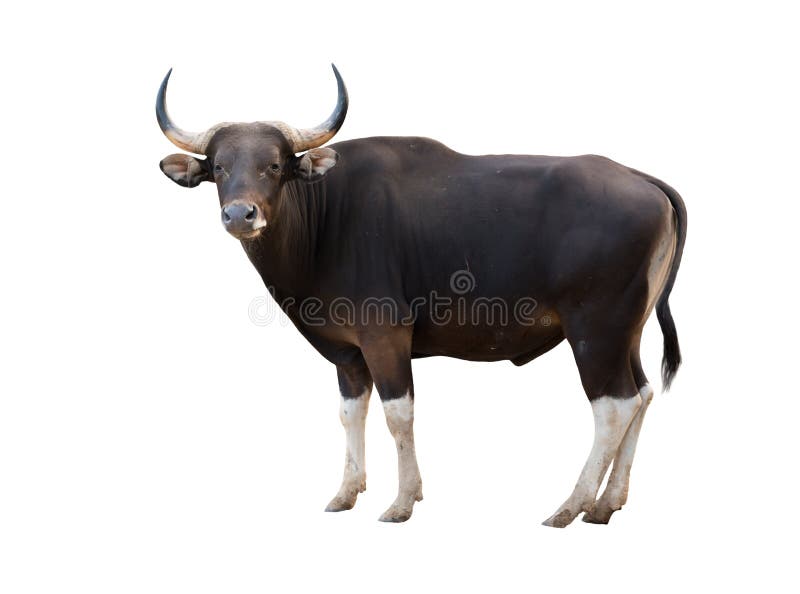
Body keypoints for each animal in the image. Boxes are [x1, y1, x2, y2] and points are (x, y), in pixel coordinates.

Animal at [156, 65, 686, 527]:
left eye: (273, 165)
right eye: (220, 167)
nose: (239, 215)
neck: (323, 221)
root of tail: (642, 180)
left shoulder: (385, 335)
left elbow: (398, 414)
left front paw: (402, 501)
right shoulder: (348, 353)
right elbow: (350, 414)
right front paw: (346, 492)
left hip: (594, 330)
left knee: (614, 406)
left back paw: (570, 506)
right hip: (627, 332)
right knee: (641, 394)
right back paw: (606, 503)